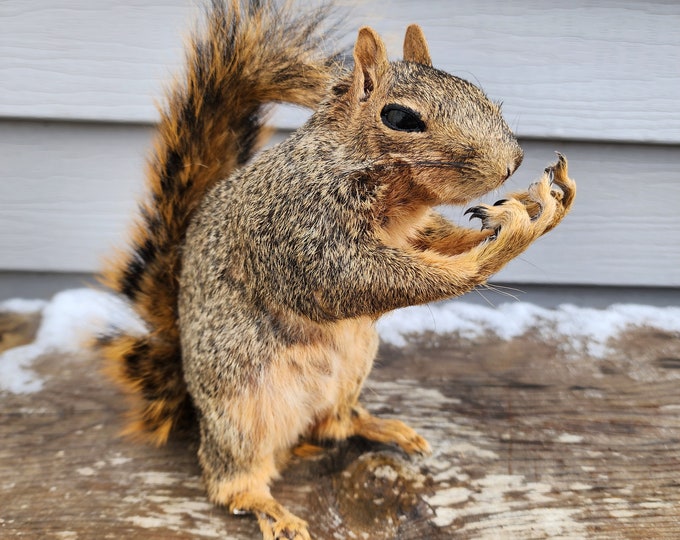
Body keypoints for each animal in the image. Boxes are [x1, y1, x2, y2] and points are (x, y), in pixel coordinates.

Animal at [97, 1, 576, 538]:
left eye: (480, 95)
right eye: (399, 117)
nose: (512, 164)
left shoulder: (413, 232)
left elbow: (441, 242)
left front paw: (525, 210)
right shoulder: (300, 235)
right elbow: (361, 281)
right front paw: (506, 241)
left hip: (350, 370)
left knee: (334, 425)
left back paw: (380, 426)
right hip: (241, 415)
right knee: (232, 482)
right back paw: (273, 510)